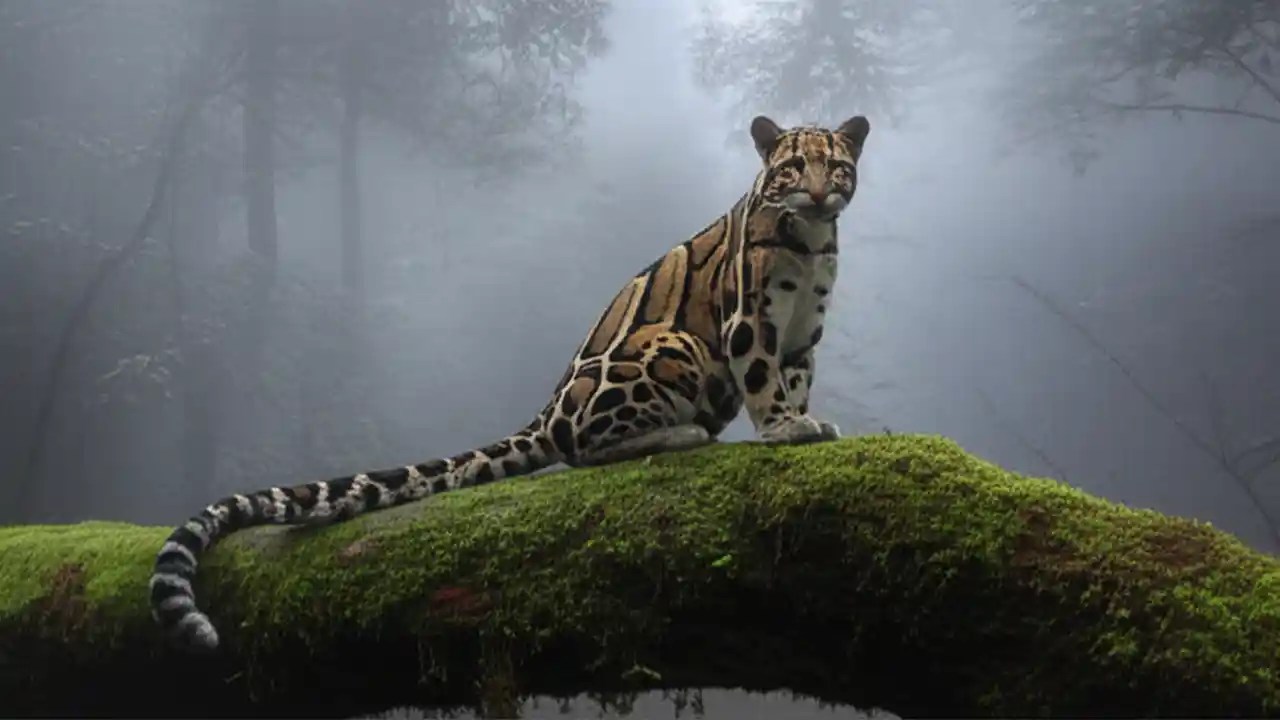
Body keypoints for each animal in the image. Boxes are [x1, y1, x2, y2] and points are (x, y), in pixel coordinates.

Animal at [149, 114, 872, 652]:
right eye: (791, 168)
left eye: (834, 166)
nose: (816, 193)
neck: (812, 240)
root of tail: (547, 409)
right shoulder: (750, 320)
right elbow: (765, 381)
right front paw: (784, 428)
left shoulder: (804, 331)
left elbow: (797, 379)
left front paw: (805, 418)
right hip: (673, 344)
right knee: (585, 449)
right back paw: (677, 434)